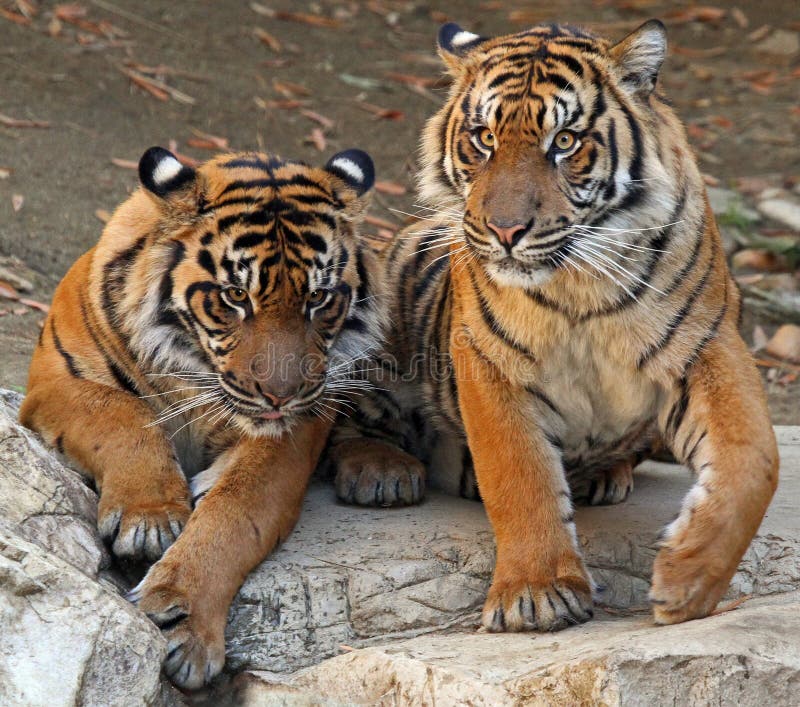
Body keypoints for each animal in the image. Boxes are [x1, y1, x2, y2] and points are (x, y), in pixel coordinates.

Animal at [19, 145, 385, 688]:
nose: (282, 395)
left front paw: (183, 620)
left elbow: (235, 512)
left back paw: (382, 472)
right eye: (235, 296)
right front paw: (150, 518)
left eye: (318, 299)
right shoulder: (54, 381)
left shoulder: (292, 435)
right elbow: (123, 413)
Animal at [329, 20, 779, 634]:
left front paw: (687, 581)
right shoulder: (489, 362)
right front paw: (537, 594)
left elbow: (755, 459)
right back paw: (380, 472)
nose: (505, 230)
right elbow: (518, 477)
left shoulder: (703, 345)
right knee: (351, 416)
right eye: (484, 139)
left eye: (564, 142)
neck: (580, 283)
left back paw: (602, 475)